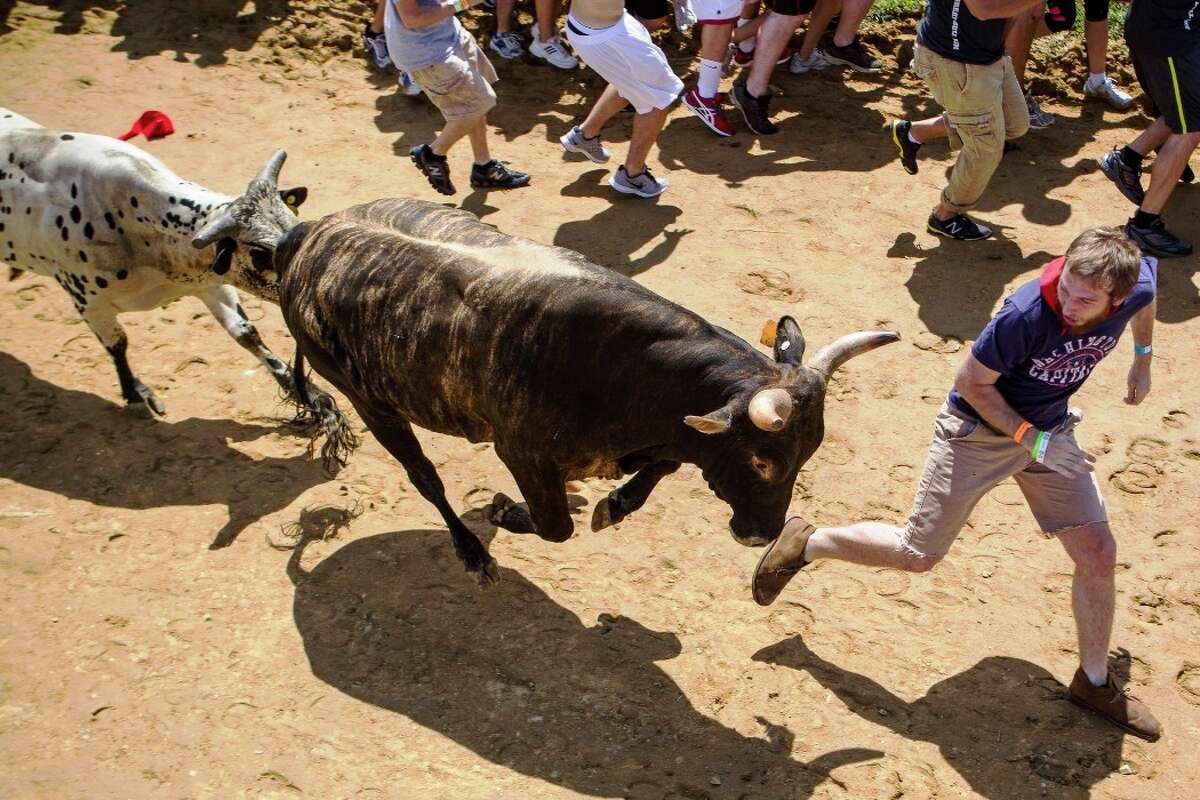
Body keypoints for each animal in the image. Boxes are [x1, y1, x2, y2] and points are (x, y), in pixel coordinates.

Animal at [0, 108, 349, 461]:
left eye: (297, 224)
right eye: (261, 254)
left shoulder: (207, 281)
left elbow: (246, 334)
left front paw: (318, 405)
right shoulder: (87, 301)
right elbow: (118, 346)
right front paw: (135, 395)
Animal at [195, 151, 899, 583]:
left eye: (808, 456)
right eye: (763, 461)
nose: (763, 535)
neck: (629, 375)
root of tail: (302, 237)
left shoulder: (662, 434)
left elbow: (668, 464)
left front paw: (615, 501)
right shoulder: (522, 452)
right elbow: (556, 527)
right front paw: (510, 512)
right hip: (372, 404)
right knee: (425, 478)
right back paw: (472, 551)